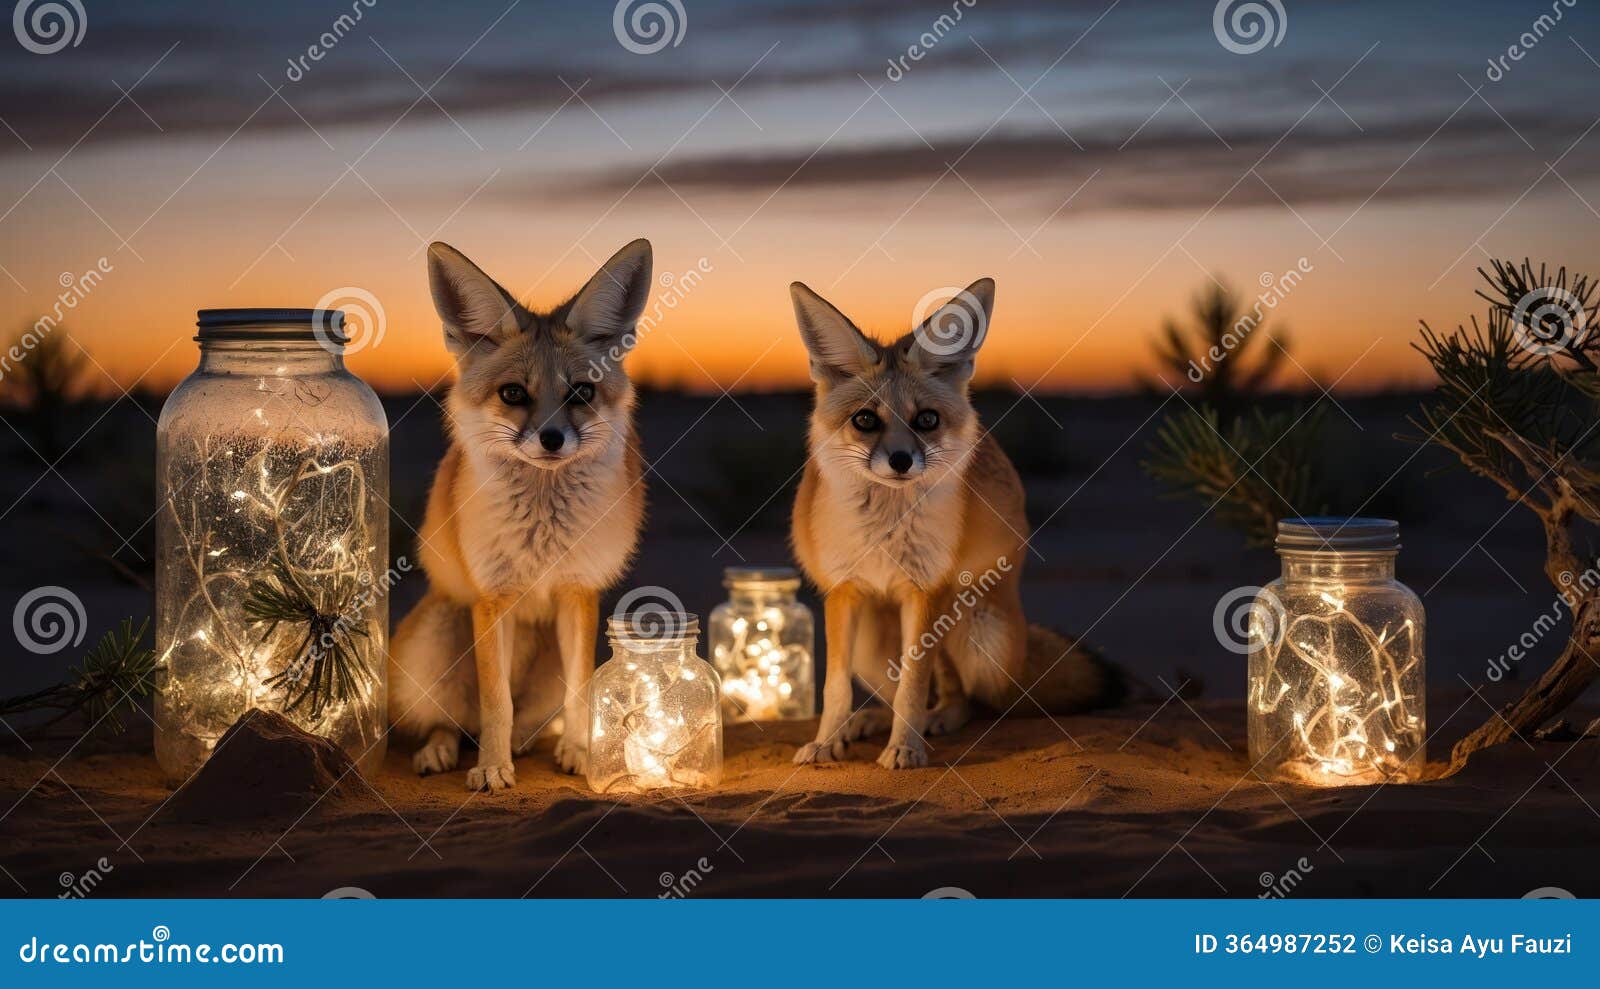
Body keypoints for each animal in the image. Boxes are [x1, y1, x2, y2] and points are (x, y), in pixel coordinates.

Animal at [387, 239, 651, 792]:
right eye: (513, 393)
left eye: (581, 392)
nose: (551, 440)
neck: (542, 532)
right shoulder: (493, 599)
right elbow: (496, 703)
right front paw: (491, 767)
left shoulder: (578, 592)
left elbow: (579, 695)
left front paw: (579, 751)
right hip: (437, 638)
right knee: (452, 720)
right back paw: (444, 750)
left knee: (529, 718)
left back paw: (529, 743)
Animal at [788, 279, 1125, 770]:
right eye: (865, 420)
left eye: (926, 419)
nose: (901, 461)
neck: (885, 533)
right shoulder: (843, 592)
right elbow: (835, 689)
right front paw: (827, 741)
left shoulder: (925, 591)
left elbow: (912, 687)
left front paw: (905, 748)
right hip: (872, 642)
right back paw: (867, 721)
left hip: (973, 624)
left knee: (962, 698)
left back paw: (935, 722)